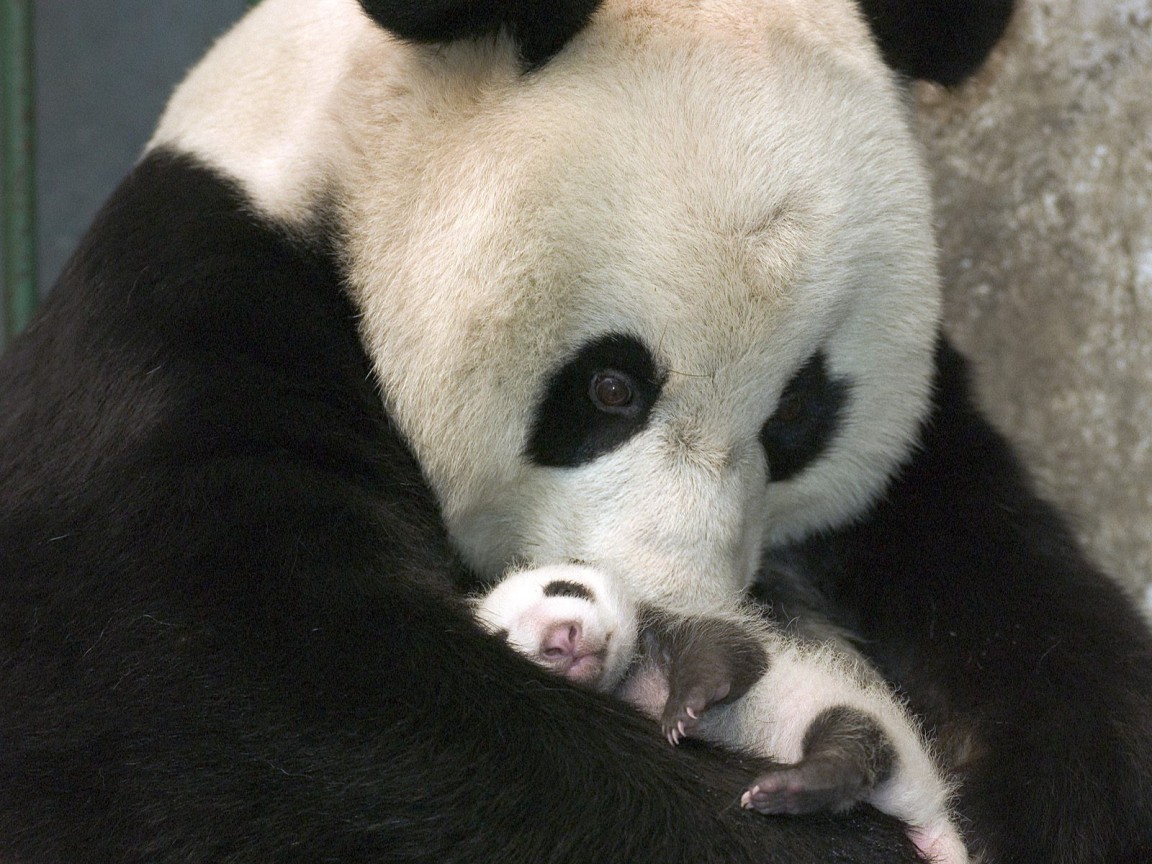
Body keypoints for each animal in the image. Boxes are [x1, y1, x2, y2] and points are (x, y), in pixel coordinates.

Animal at [1, 1, 1150, 863]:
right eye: (610, 388)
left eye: (797, 413)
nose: (678, 606)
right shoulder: (185, 341)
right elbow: (258, 708)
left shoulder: (928, 469)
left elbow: (1035, 630)